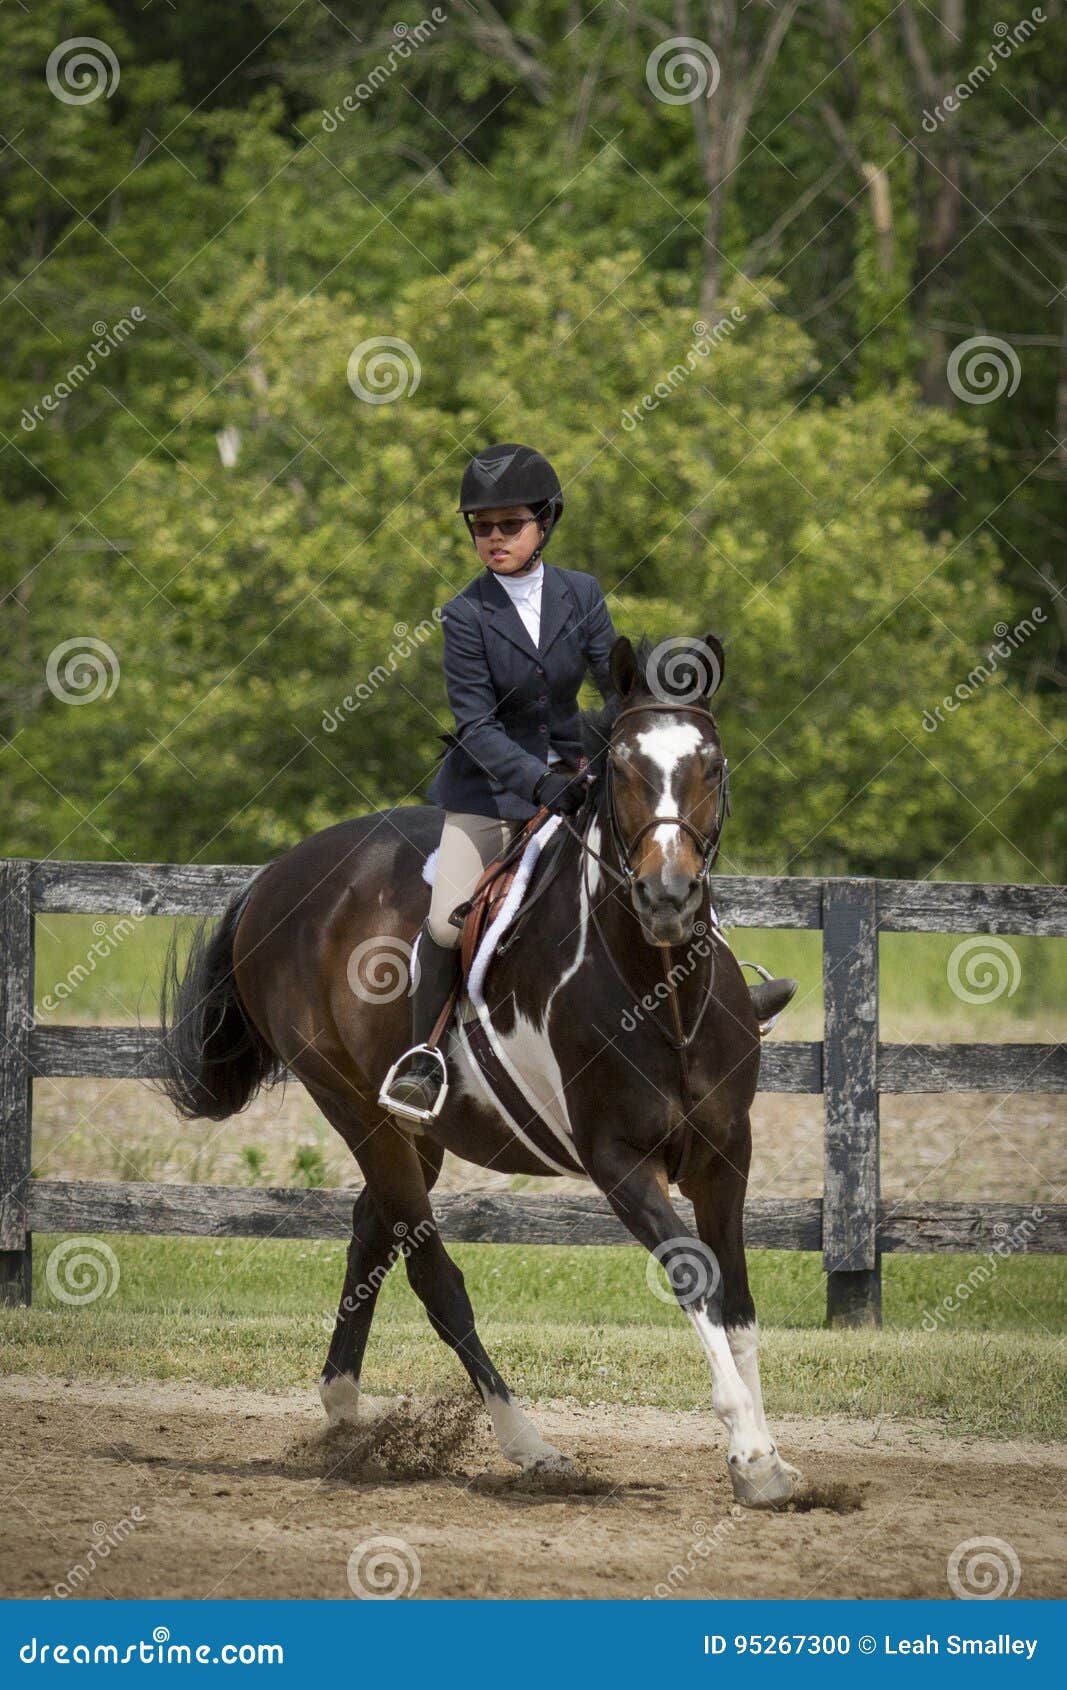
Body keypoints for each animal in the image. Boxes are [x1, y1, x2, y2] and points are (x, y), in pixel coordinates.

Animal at [156, 632, 801, 1508]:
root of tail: (276, 875)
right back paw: (528, 1446)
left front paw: (769, 1455)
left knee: (372, 1231)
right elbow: (694, 1279)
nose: (666, 897)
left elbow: (736, 1301)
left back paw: (345, 1415)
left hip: (414, 1133)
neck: (659, 990)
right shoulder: (619, 1163)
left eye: (713, 765)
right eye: (622, 768)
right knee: (434, 1273)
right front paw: (751, 1455)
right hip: (353, 1106)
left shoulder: (724, 1153)